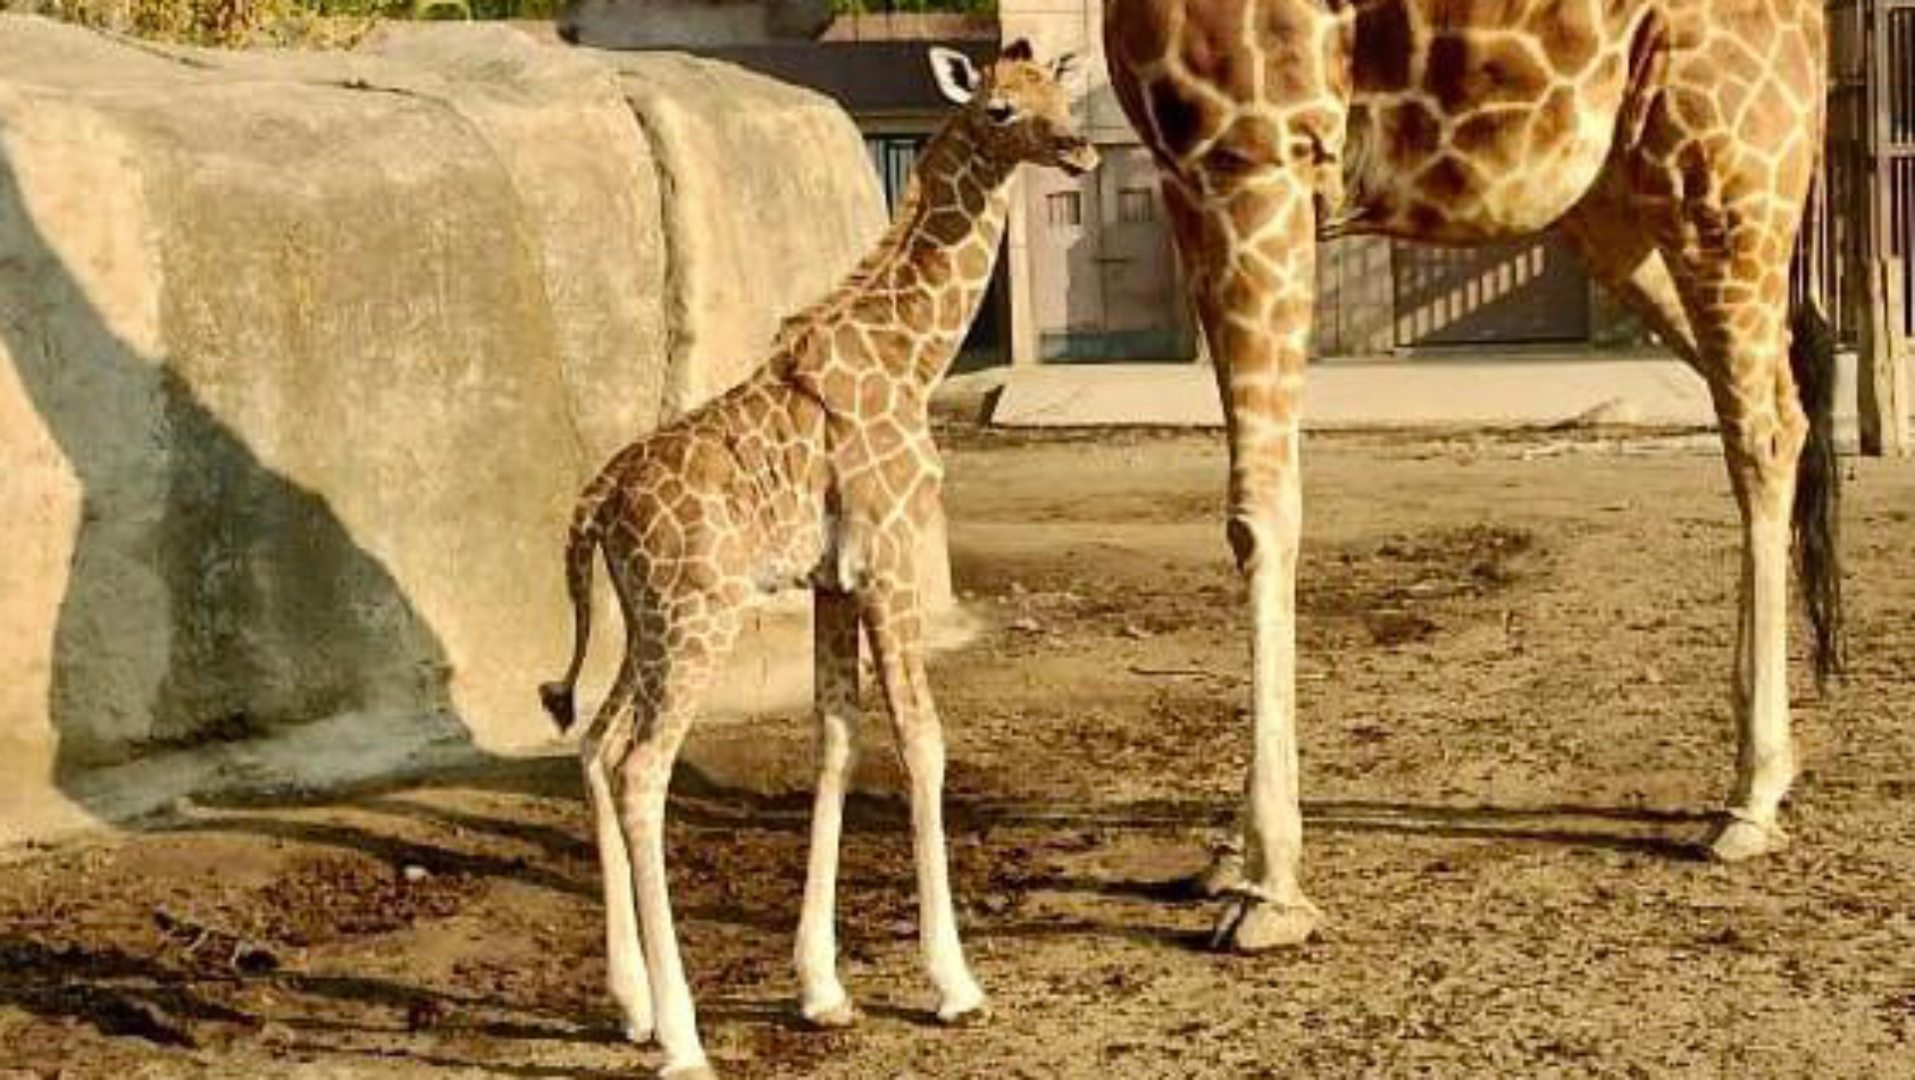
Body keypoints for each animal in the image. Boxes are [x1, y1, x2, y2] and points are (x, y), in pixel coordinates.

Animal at [538, 43, 1096, 1079]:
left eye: (1057, 94)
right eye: (1000, 109)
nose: (1078, 149)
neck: (911, 357)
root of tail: (596, 502)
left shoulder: (835, 581)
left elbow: (834, 743)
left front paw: (821, 989)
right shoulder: (889, 560)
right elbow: (922, 739)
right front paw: (954, 984)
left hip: (649, 621)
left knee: (594, 743)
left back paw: (631, 1005)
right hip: (697, 618)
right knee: (640, 770)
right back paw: (681, 1038)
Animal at [1102, 0, 1842, 952]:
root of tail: (1815, 28)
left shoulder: (1255, 153)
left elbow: (1260, 511)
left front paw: (1271, 890)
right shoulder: (1189, 180)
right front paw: (1231, 856)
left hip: (1724, 177)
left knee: (1761, 425)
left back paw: (1749, 801)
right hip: (1614, 207)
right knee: (1773, 405)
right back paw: (1763, 780)